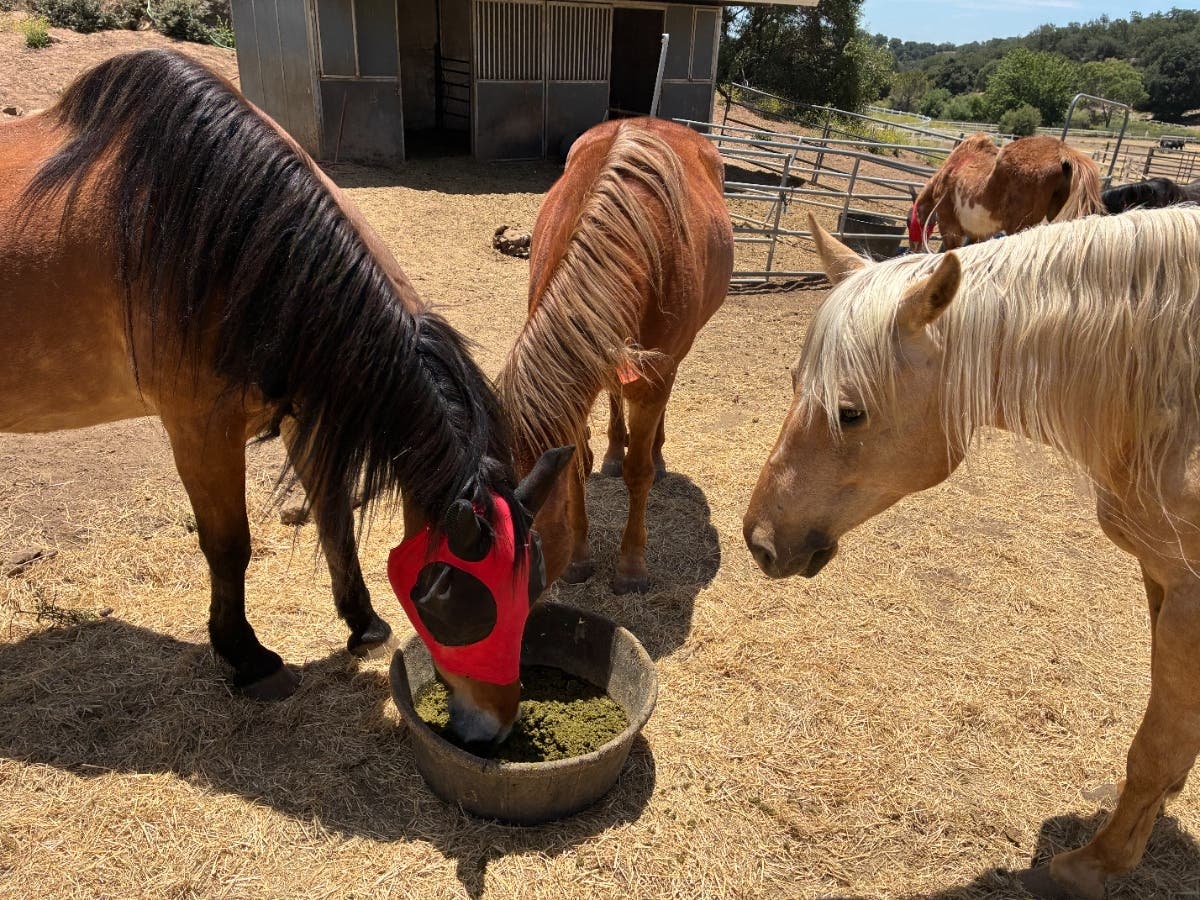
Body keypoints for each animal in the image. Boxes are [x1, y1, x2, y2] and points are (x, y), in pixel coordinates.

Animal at [0, 50, 570, 743]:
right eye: (449, 602)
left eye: (534, 587)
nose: (490, 731)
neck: (219, 233)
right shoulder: (201, 430)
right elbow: (229, 547)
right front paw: (248, 659)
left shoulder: (307, 407)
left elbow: (333, 515)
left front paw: (363, 625)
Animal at [497, 118, 734, 594]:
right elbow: (576, 466)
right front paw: (580, 558)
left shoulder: (655, 374)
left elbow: (638, 471)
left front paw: (631, 567)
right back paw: (611, 451)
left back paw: (656, 453)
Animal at [744, 208, 1200, 898]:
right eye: (795, 383)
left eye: (849, 413)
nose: (759, 539)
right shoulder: (1161, 576)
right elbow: (1170, 733)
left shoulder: (1189, 599)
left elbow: (1155, 747)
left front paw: (1093, 865)